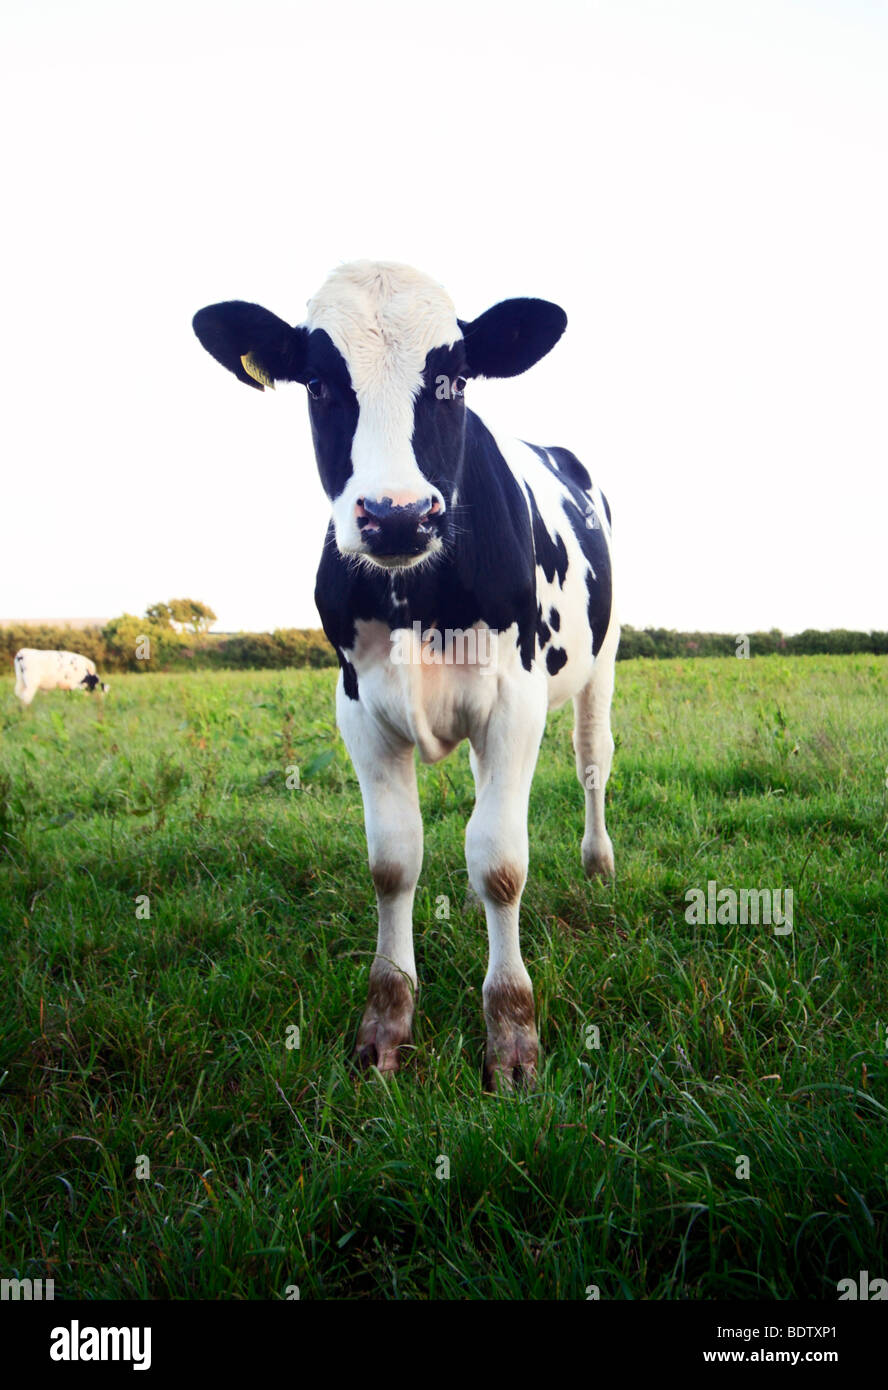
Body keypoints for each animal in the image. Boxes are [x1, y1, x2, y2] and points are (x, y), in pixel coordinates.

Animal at [193, 261, 619, 1089]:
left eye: (454, 380)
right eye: (318, 384)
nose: (396, 515)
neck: (418, 593)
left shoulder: (515, 701)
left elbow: (500, 862)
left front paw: (511, 1035)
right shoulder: (358, 706)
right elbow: (394, 862)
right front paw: (385, 1026)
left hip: (602, 660)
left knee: (591, 761)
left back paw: (597, 862)